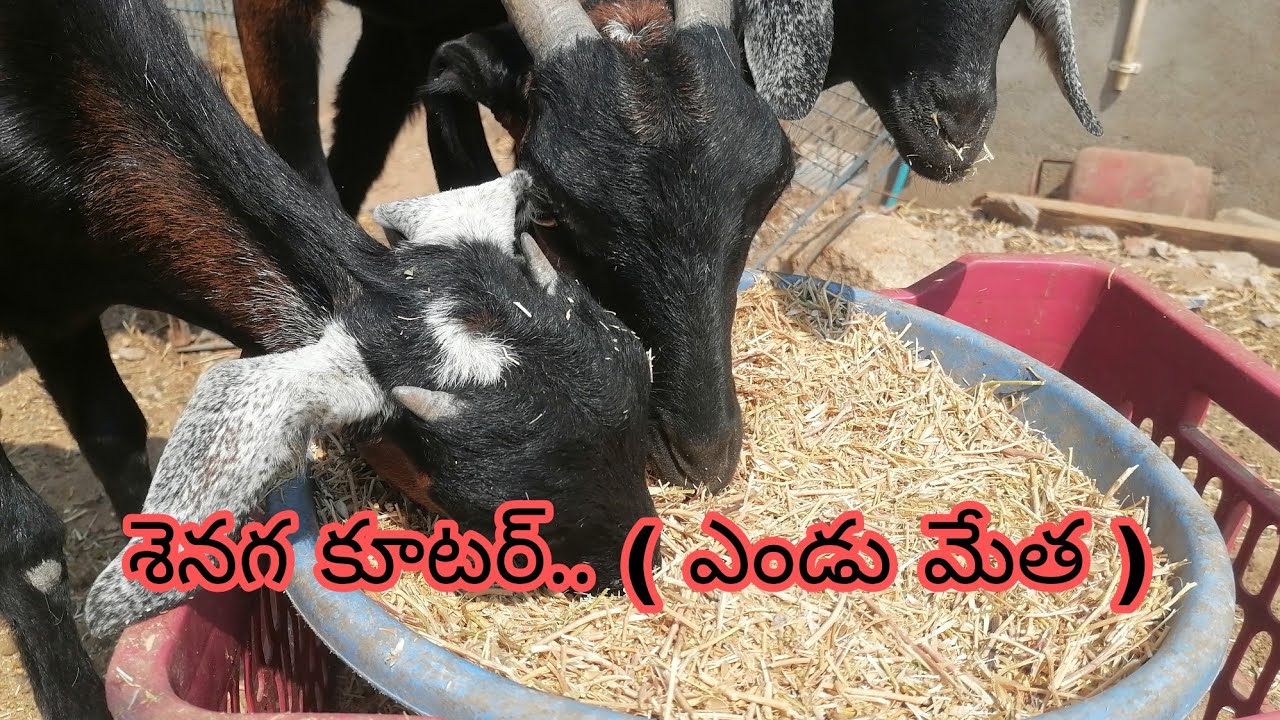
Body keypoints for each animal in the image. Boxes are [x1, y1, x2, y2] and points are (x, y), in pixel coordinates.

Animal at [0, 0, 655, 714]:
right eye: (496, 512)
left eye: (635, 370)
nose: (638, 569)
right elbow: (28, 542)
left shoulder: (57, 309)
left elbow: (114, 433)